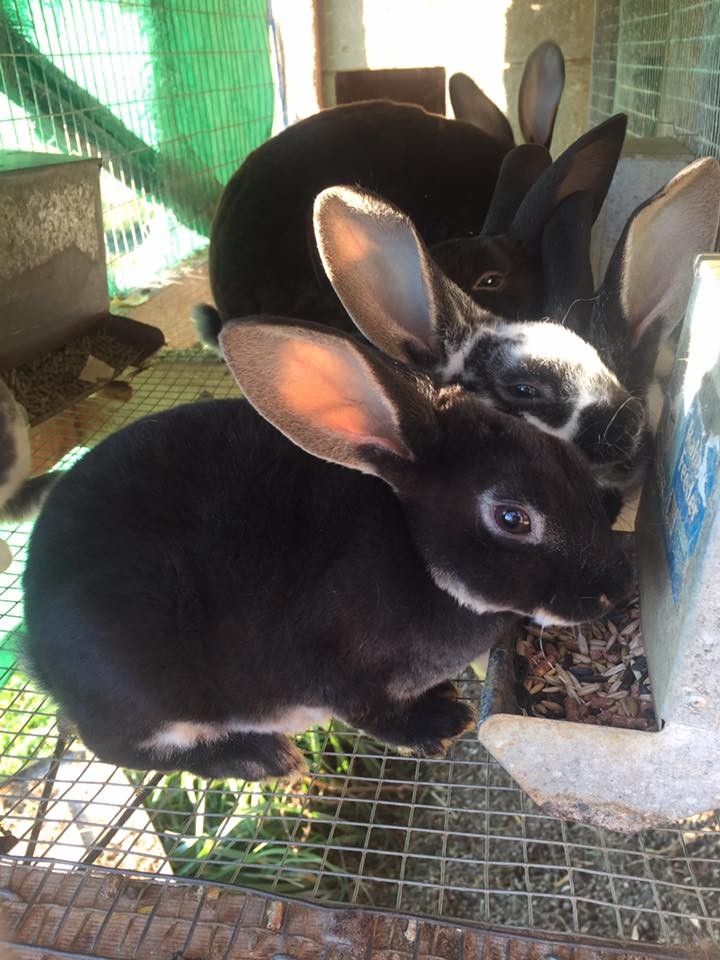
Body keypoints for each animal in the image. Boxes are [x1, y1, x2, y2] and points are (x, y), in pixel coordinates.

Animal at [22, 314, 633, 780]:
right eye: (512, 518)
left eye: (573, 464)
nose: (614, 590)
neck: (419, 555)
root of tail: (41, 658)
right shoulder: (343, 676)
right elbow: (375, 717)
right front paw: (441, 724)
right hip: (150, 697)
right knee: (130, 750)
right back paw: (263, 760)